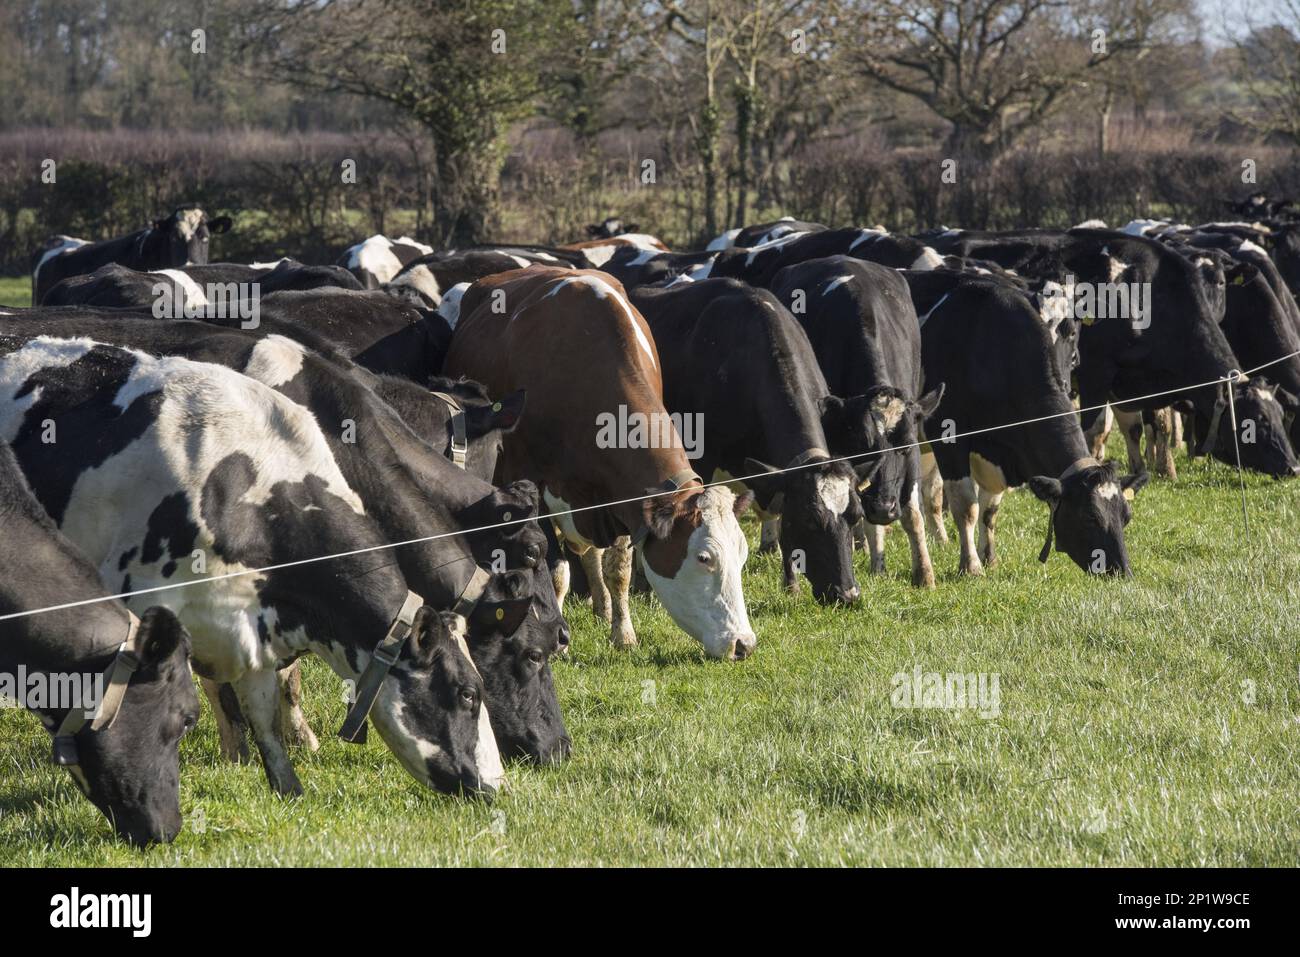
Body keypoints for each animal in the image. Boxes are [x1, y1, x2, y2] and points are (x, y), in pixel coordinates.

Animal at [445, 267, 757, 660]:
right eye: (704, 558)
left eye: (743, 555)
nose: (744, 644)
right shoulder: (530, 484)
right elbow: (554, 570)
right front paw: (554, 641)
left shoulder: (621, 500)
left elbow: (618, 570)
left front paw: (622, 633)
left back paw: (602, 607)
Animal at [901, 273, 1149, 576]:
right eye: (1090, 517)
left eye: (1126, 516)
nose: (1121, 571)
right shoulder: (948, 439)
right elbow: (966, 506)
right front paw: (971, 566)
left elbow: (989, 510)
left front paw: (989, 558)